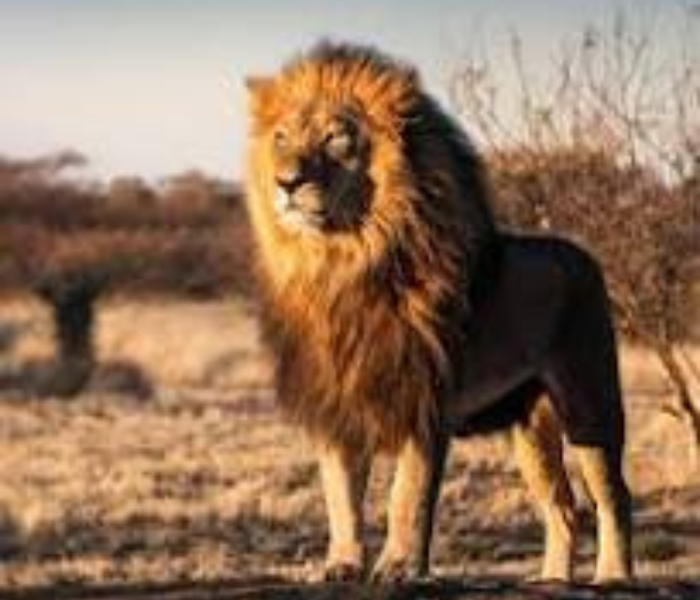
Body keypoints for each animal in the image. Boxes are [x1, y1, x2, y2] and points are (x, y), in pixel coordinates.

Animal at [243, 41, 632, 584]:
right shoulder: (335, 402)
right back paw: (553, 579)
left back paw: (614, 576)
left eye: (336, 138)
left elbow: (406, 496)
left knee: (613, 496)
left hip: (588, 399)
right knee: (562, 507)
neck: (343, 264)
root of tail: (586, 255)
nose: (286, 182)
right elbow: (340, 494)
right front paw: (343, 564)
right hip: (529, 425)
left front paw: (398, 566)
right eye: (281, 138)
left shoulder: (425, 400)